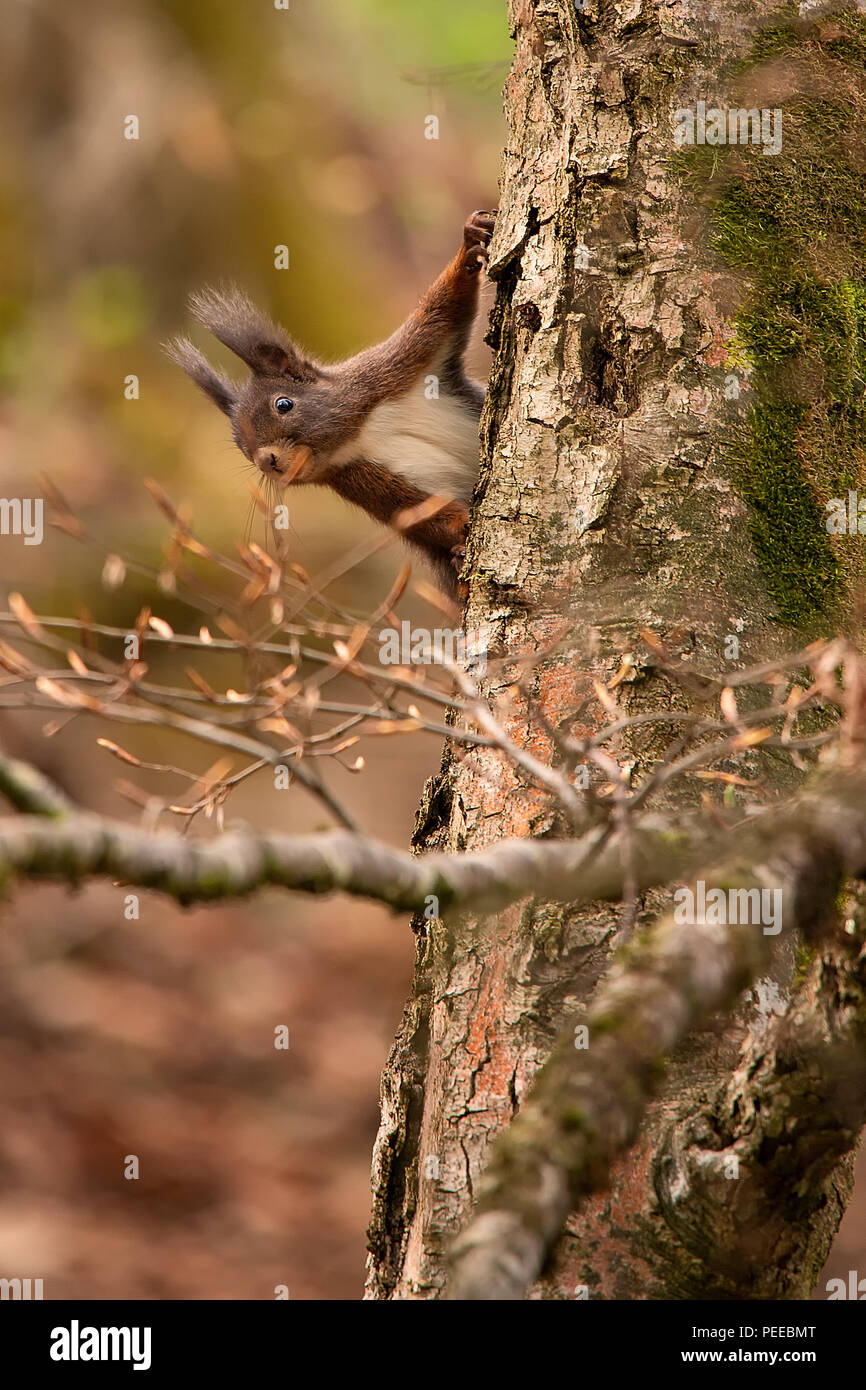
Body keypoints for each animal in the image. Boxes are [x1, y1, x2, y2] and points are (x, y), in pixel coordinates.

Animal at [168, 210, 495, 597]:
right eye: (241, 448)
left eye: (284, 404)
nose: (266, 461)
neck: (360, 430)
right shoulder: (360, 480)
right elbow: (418, 514)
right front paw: (462, 530)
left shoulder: (393, 368)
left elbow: (441, 313)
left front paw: (470, 241)